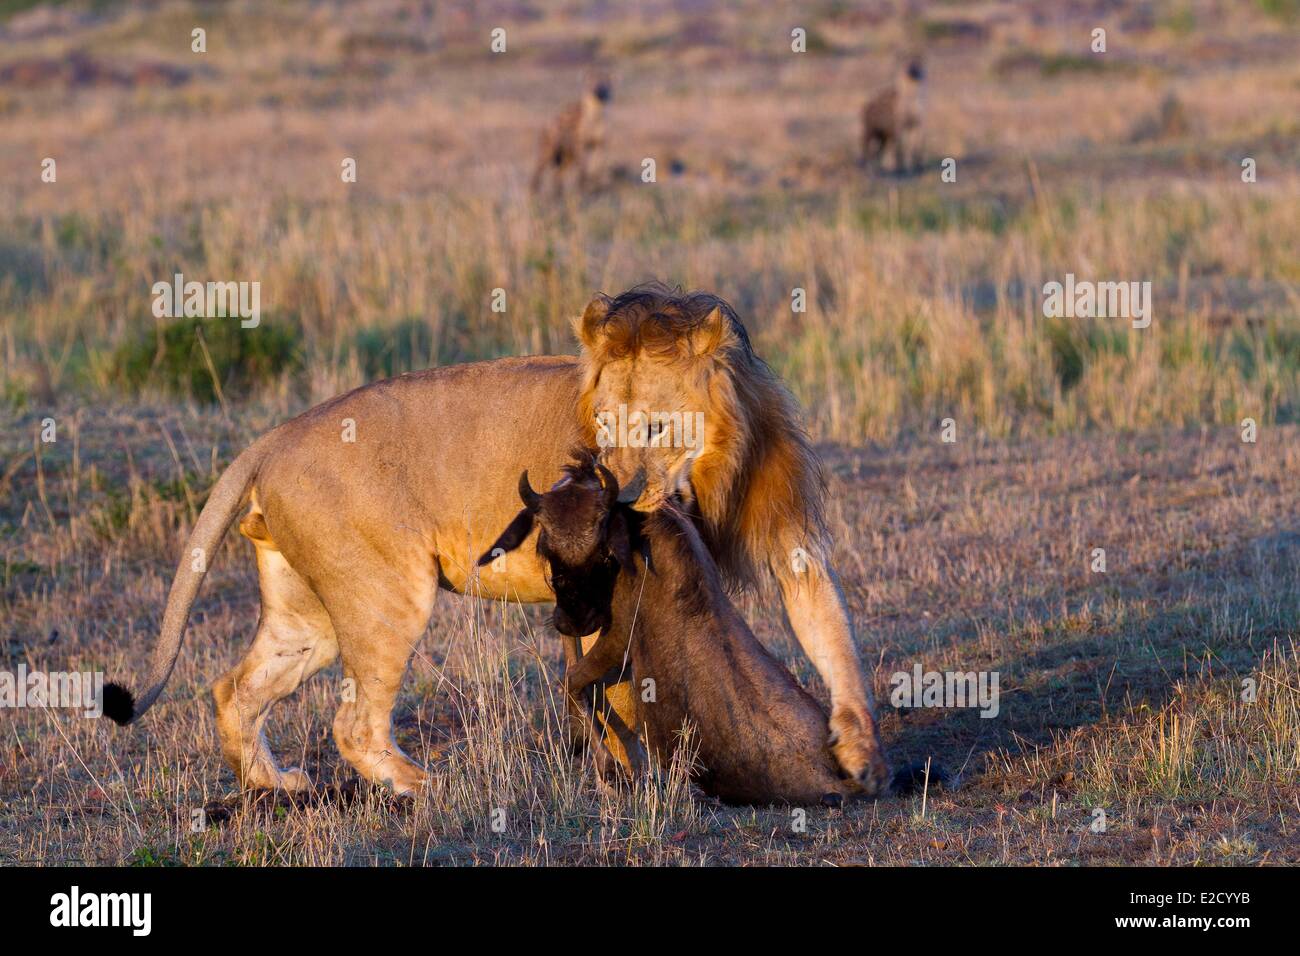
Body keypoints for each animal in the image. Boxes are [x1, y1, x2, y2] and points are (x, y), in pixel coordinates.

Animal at [103, 283, 888, 797]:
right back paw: (420, 786)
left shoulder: (786, 537)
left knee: (234, 688)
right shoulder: (597, 583)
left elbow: (830, 630)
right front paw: (630, 774)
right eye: (604, 430)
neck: (713, 468)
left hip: (310, 616)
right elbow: (614, 686)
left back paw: (276, 786)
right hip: (388, 594)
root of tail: (272, 436)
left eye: (657, 428)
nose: (617, 496)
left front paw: (857, 752)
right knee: (353, 722)